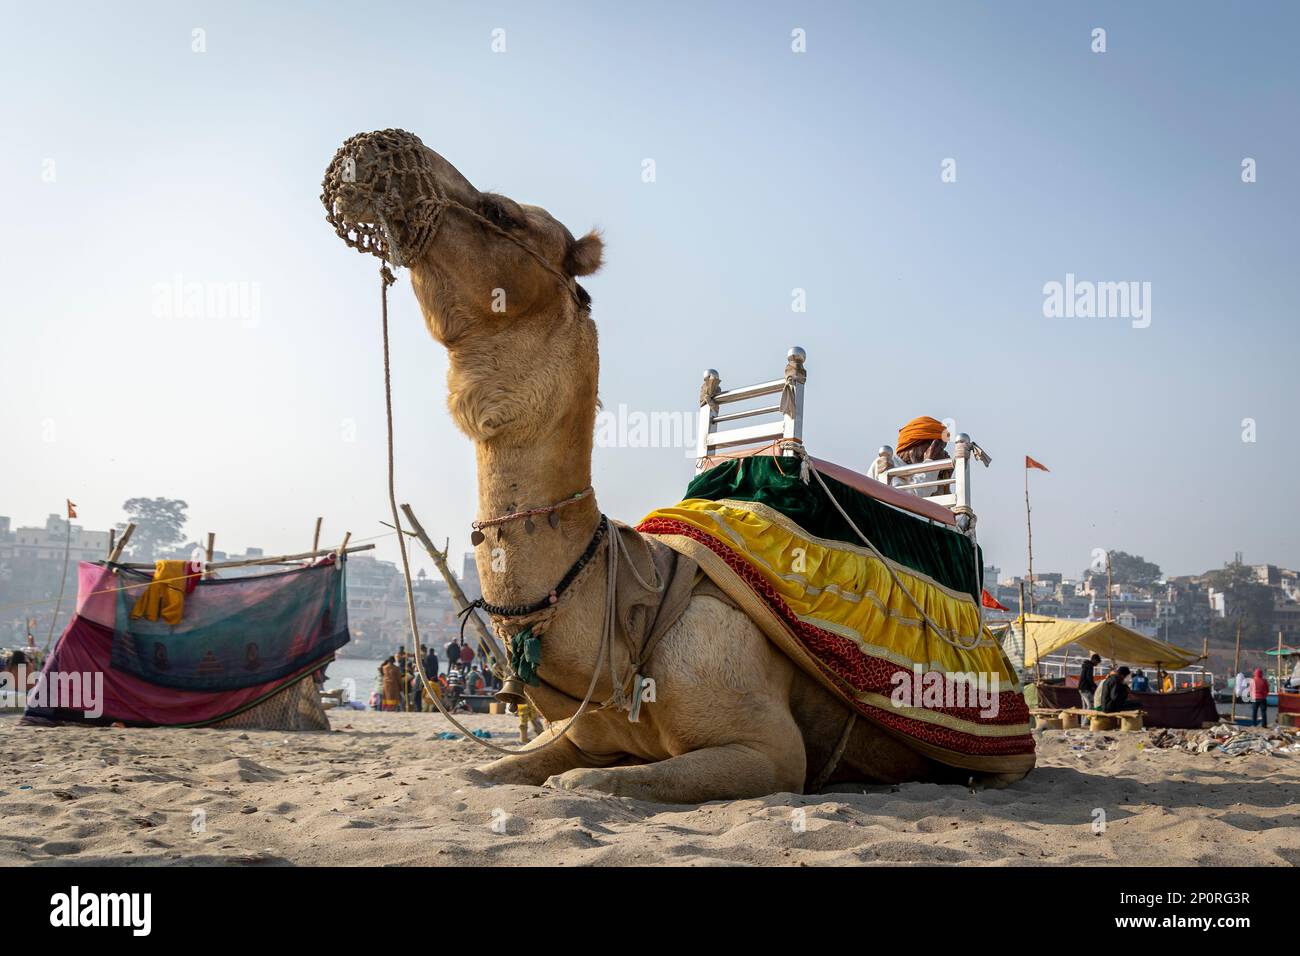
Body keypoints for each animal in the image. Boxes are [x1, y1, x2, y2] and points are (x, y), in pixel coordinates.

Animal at [325, 131, 1028, 803]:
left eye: (500, 211)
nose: (377, 149)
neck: (624, 610)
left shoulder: (768, 748)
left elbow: (584, 783)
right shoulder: (574, 732)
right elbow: (482, 774)